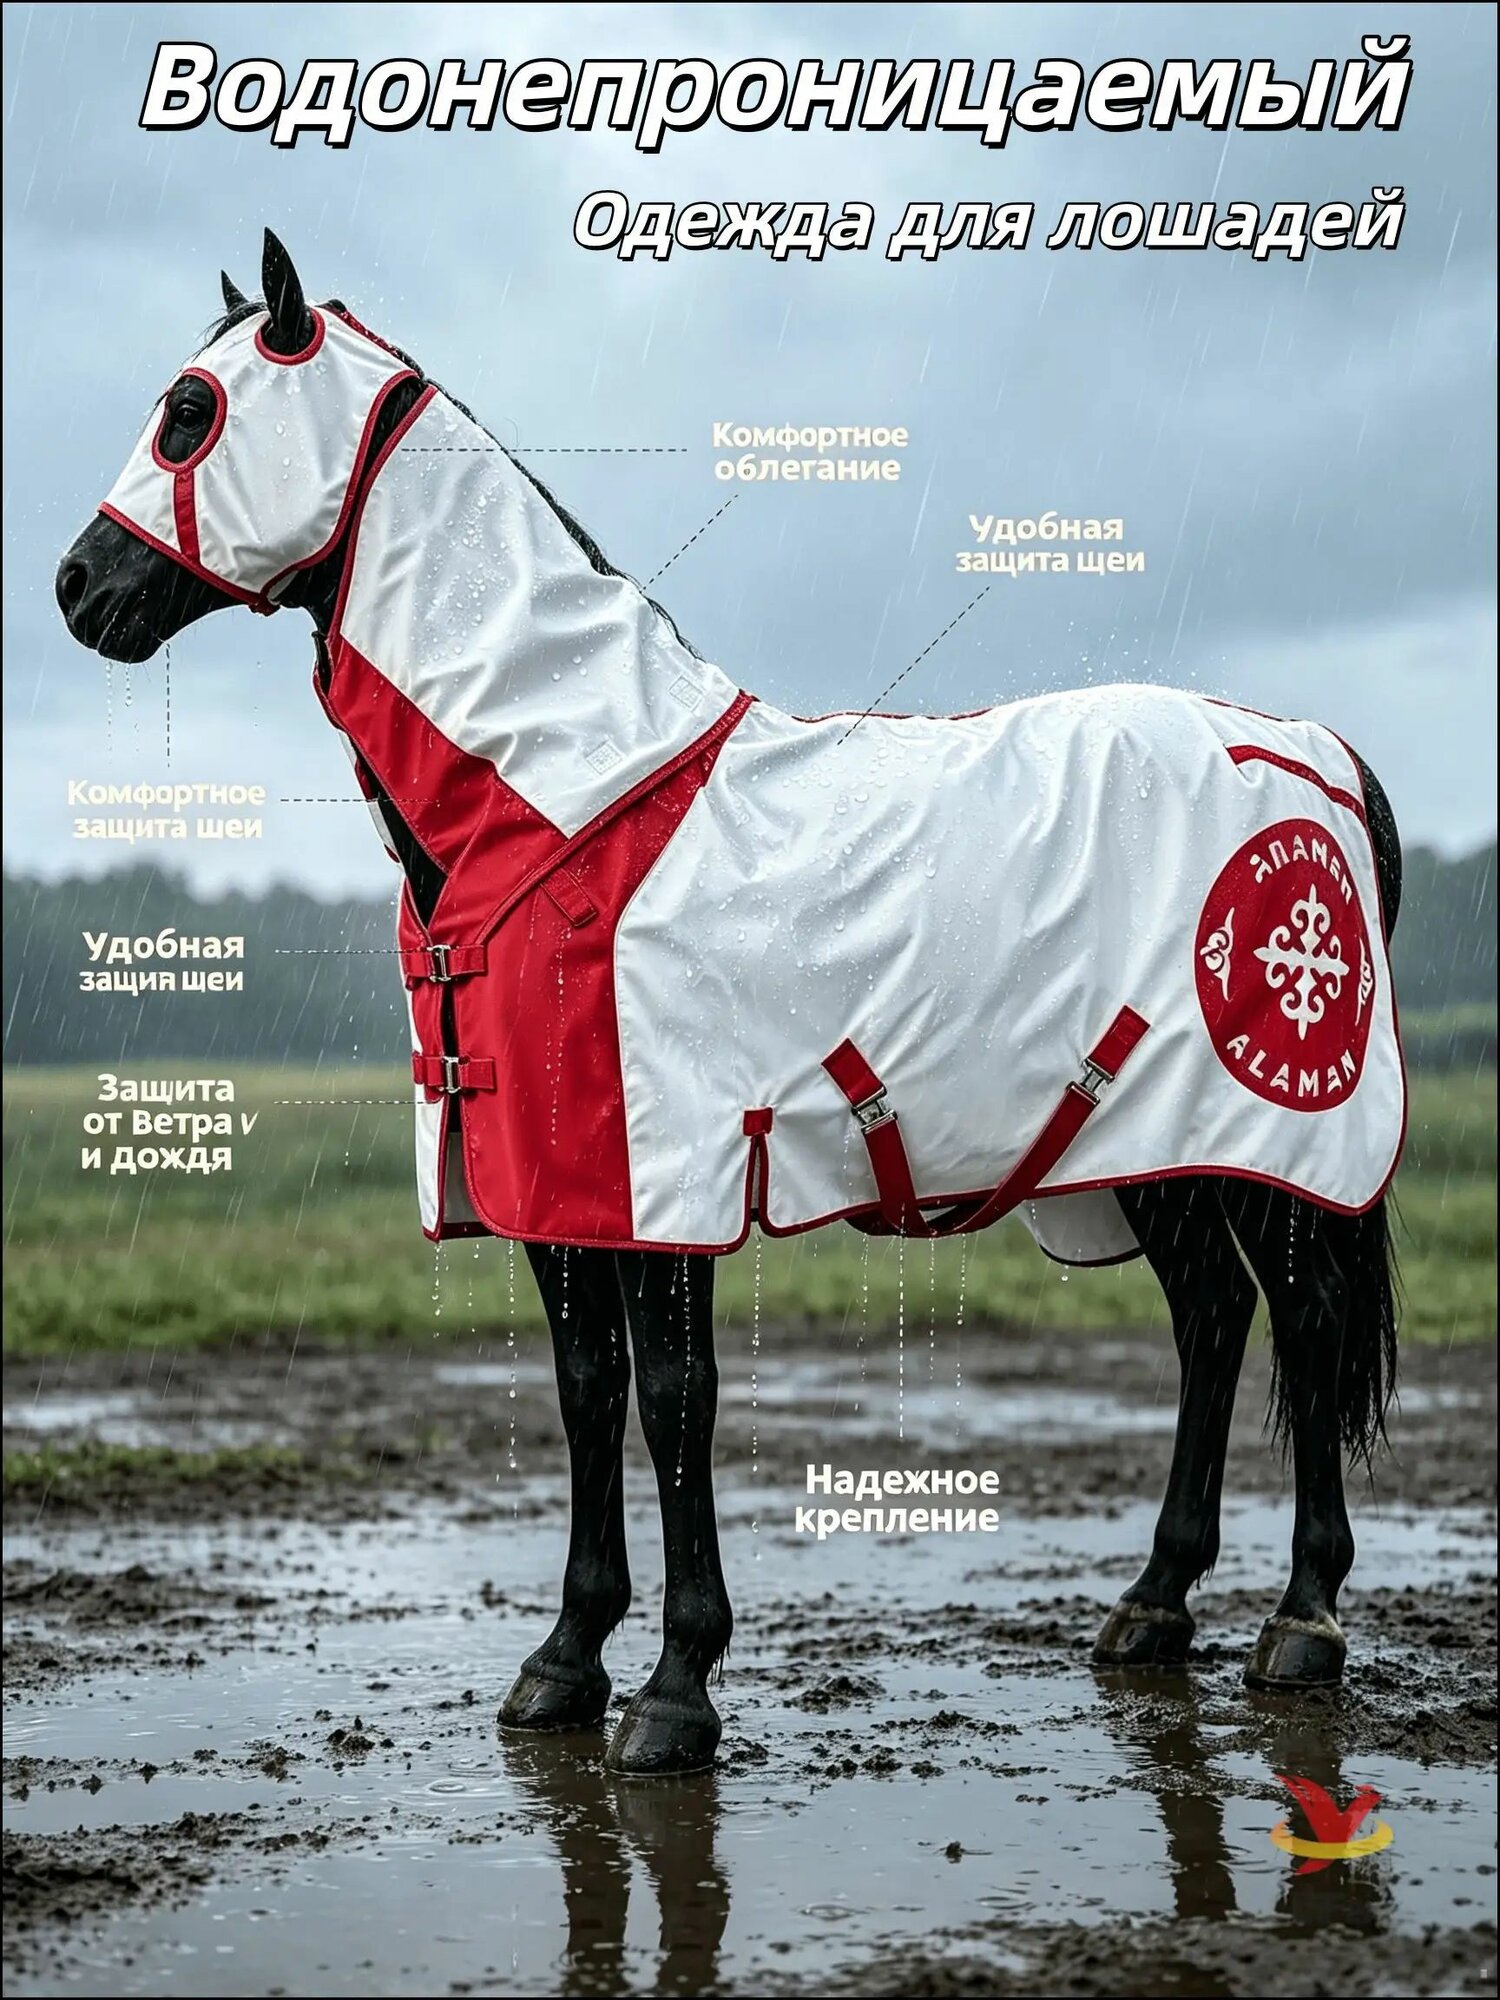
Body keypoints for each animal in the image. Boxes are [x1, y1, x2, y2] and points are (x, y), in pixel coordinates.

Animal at [57, 232, 1404, 1778]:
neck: (565, 809)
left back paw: (1301, 1624)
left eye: (188, 413)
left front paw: (674, 1689)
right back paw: (1154, 1603)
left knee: (1303, 1319)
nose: (75, 588)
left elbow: (674, 1402)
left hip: (1279, 1145)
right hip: (1156, 1151)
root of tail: (1314, 755)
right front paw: (564, 1663)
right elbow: (586, 1393)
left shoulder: (673, 1173)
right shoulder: (560, 1187)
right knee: (1215, 1319)